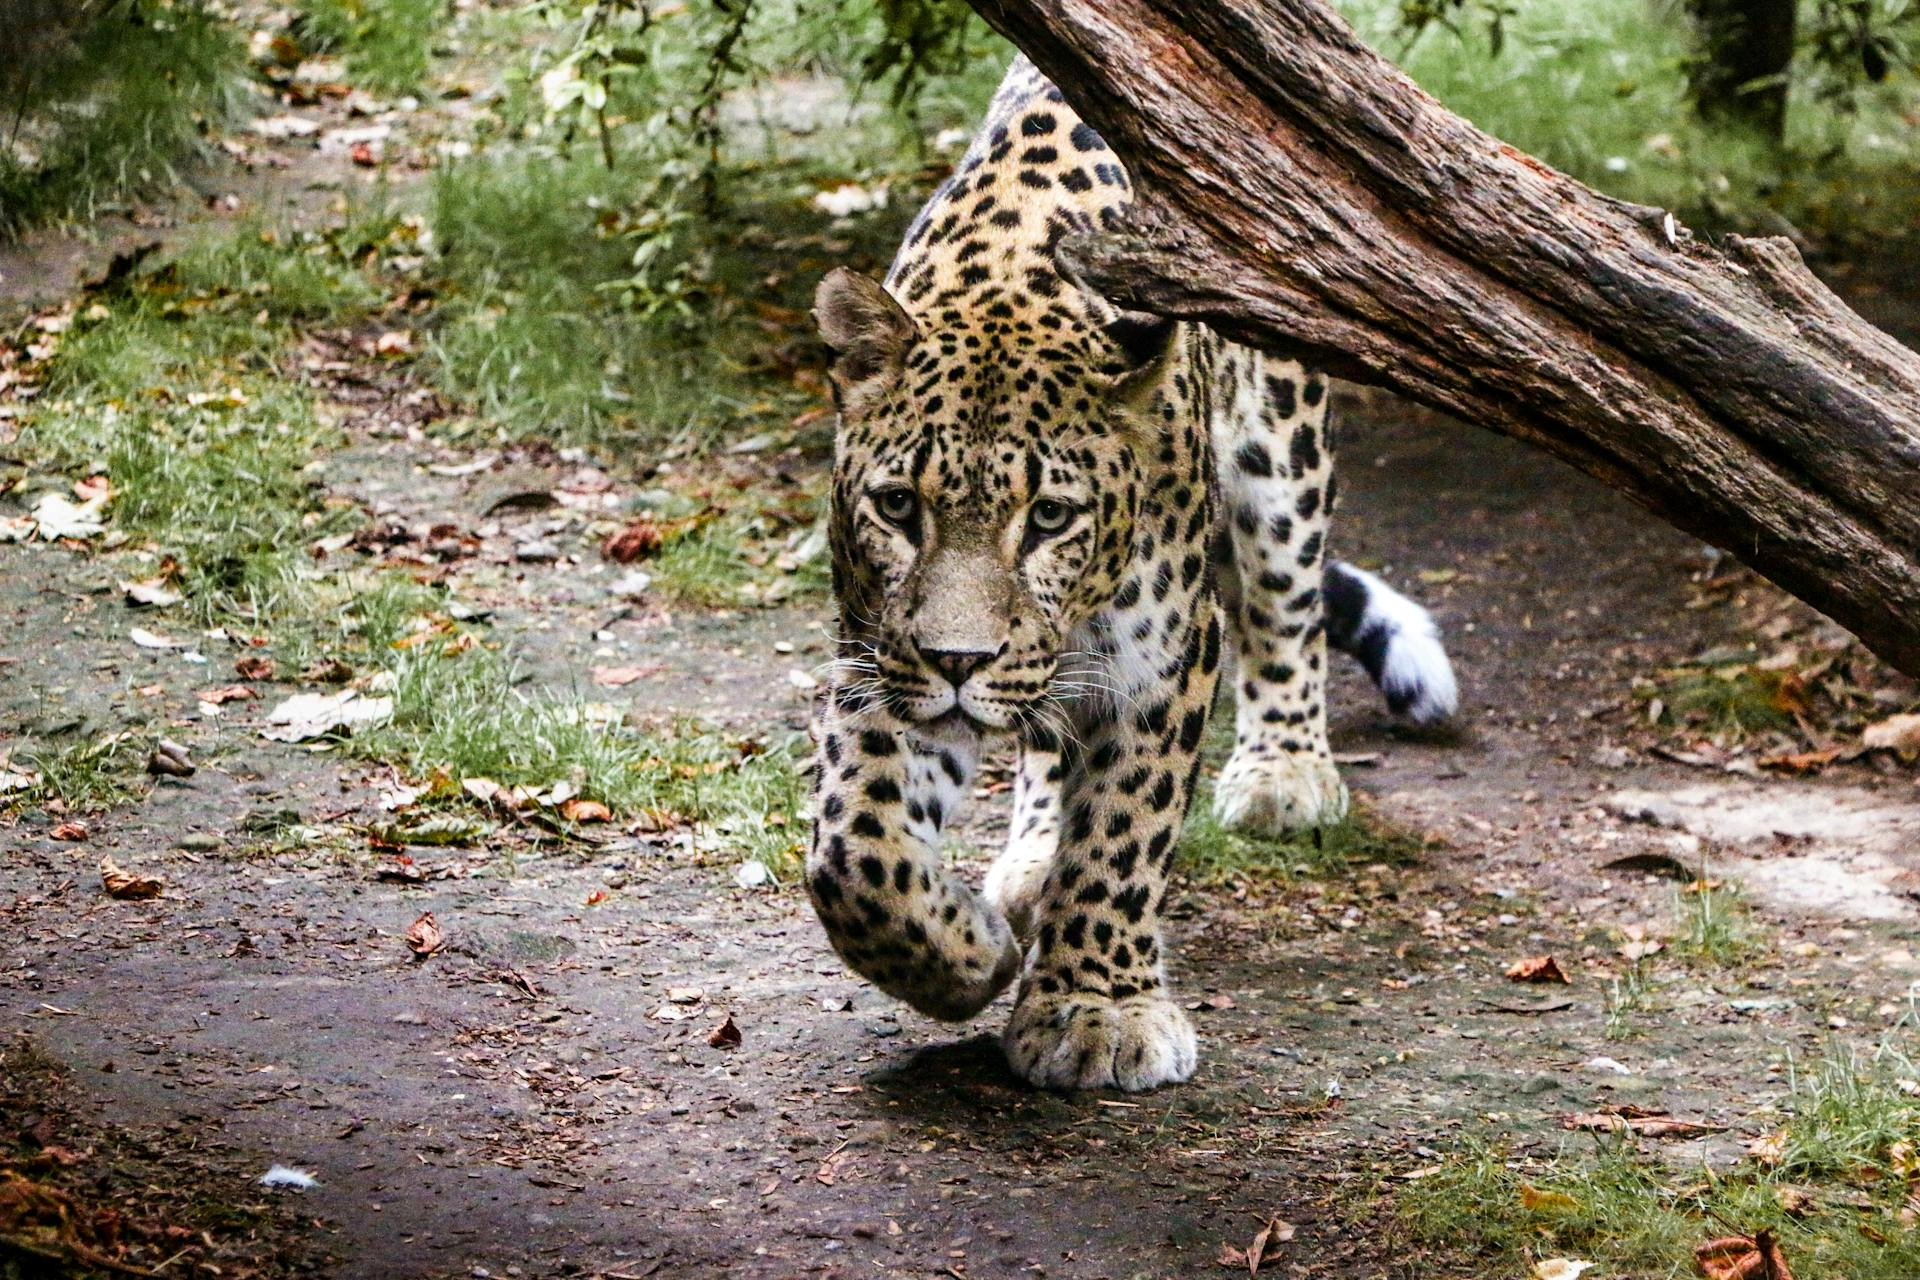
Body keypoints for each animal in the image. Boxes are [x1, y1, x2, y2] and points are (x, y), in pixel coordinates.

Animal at [804, 56, 1457, 1092]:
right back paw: (1033, 857)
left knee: (1286, 606)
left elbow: (1125, 828)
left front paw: (1093, 1009)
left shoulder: (1166, 658)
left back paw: (1285, 773)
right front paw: (970, 953)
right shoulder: (879, 657)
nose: (958, 662)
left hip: (1281, 446)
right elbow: (856, 853)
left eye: (1051, 517)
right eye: (900, 506)